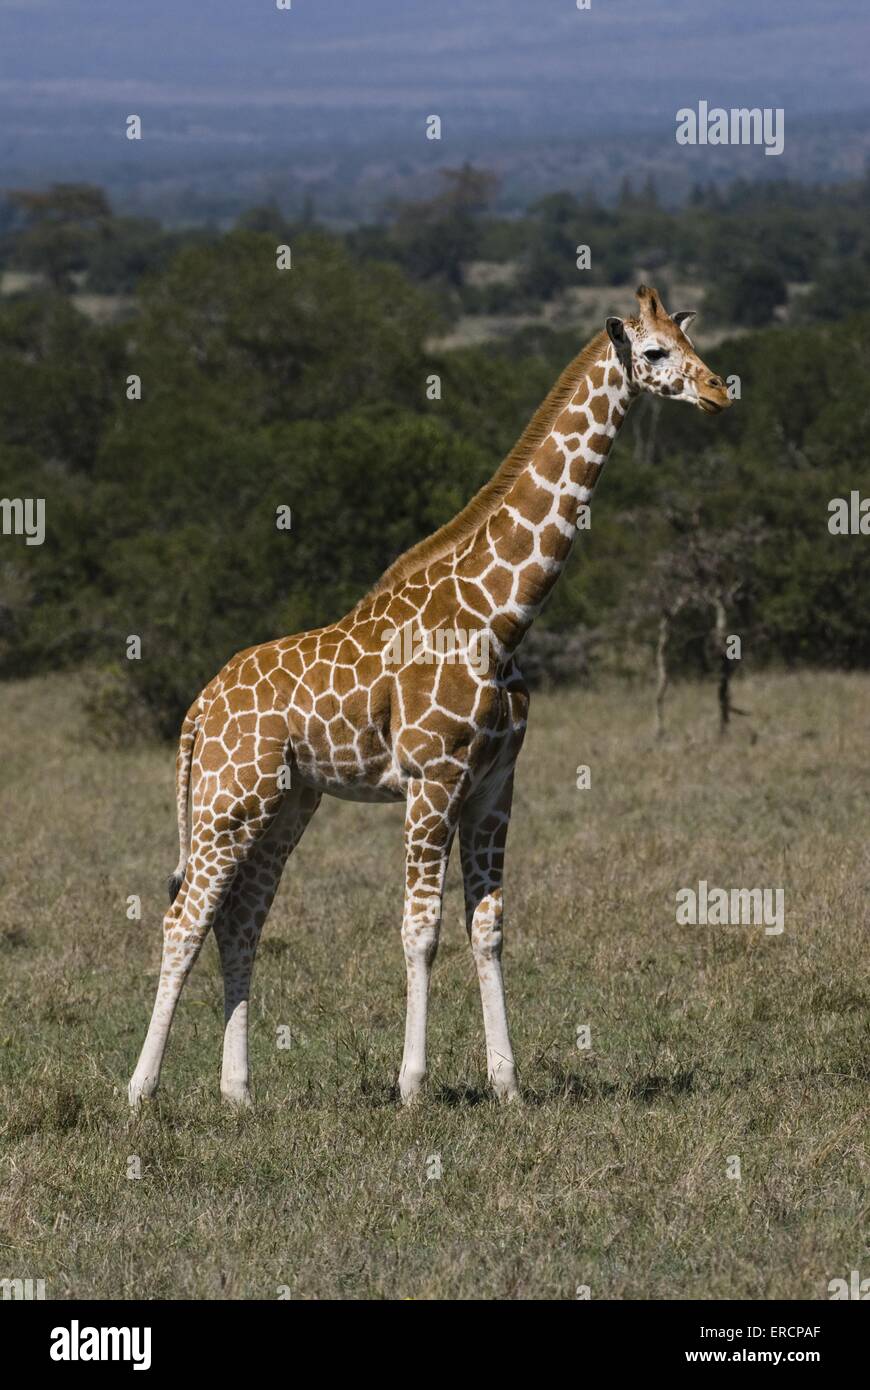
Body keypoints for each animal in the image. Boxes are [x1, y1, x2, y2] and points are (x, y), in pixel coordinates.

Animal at [128, 285, 732, 1109]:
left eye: (688, 340)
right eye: (655, 351)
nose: (719, 392)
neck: (500, 616)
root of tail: (199, 707)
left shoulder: (494, 787)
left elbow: (489, 928)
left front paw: (508, 1085)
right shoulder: (431, 779)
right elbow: (422, 932)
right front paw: (412, 1086)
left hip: (285, 805)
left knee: (240, 922)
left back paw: (239, 1093)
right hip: (227, 800)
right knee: (183, 921)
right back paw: (139, 1092)